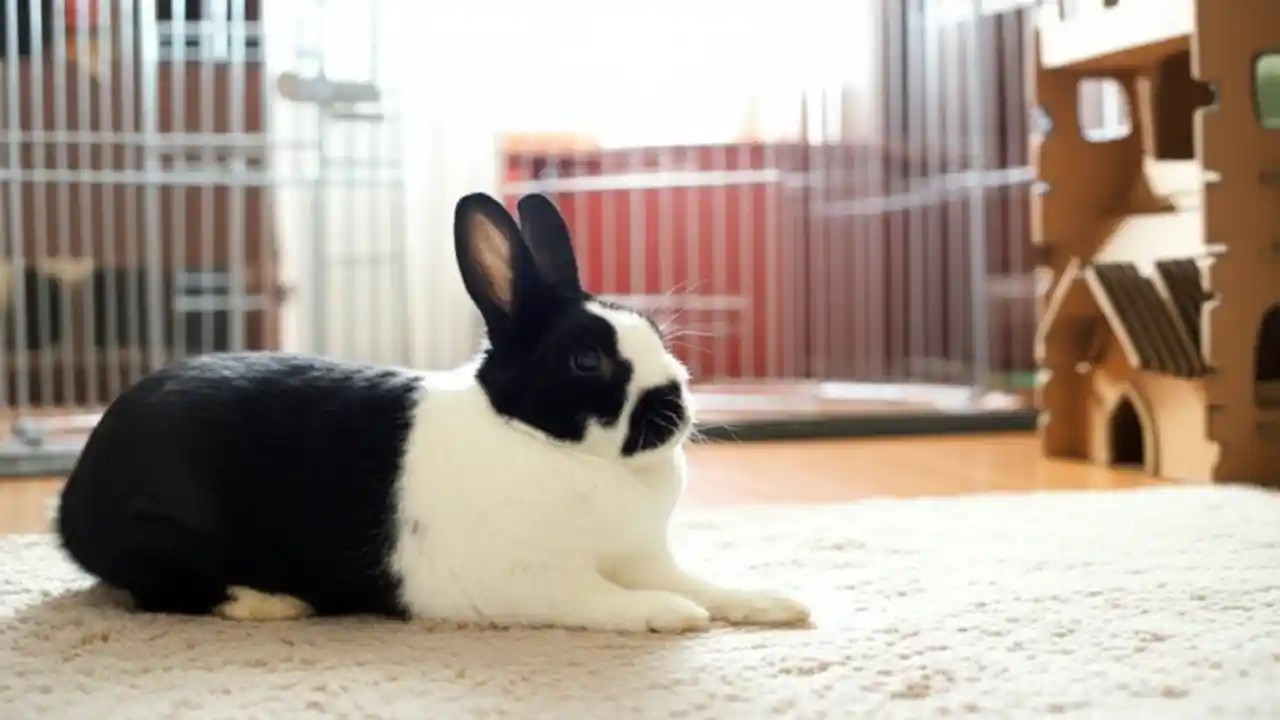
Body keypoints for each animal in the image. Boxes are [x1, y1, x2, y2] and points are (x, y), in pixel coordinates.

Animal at [55, 192, 810, 633]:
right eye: (585, 361)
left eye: (655, 334)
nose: (676, 402)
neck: (541, 440)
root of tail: (75, 496)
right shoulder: (530, 580)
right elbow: (608, 601)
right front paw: (674, 616)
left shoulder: (644, 556)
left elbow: (698, 580)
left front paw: (771, 603)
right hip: (161, 539)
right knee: (160, 590)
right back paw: (270, 603)